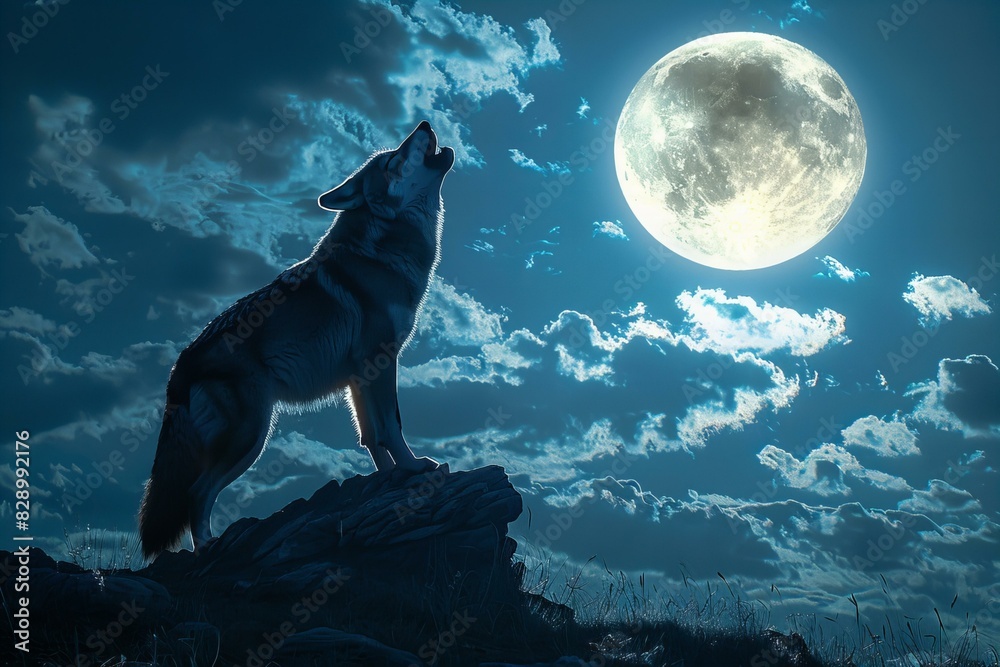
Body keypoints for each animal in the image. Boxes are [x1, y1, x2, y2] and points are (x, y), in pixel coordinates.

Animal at [139, 121, 454, 558]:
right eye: (394, 159)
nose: (423, 124)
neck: (381, 250)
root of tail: (179, 365)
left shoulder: (358, 378)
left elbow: (371, 435)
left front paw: (386, 477)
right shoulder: (380, 360)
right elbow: (393, 424)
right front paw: (414, 468)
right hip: (252, 436)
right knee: (197, 492)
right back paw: (209, 548)